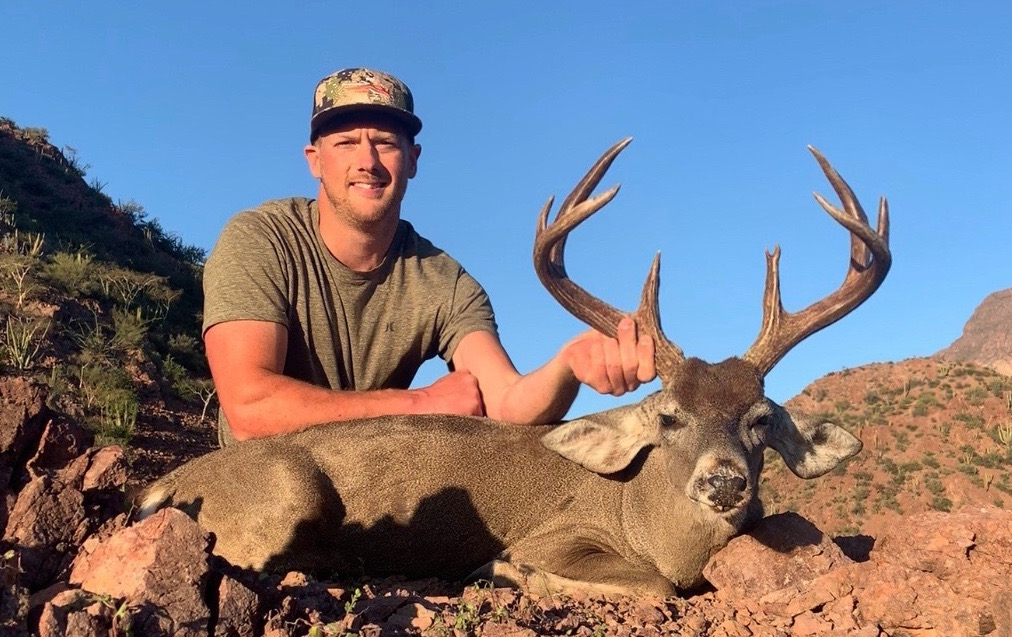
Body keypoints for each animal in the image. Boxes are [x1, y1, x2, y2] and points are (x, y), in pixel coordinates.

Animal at [138, 138, 890, 597]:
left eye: (760, 419)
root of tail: (168, 482)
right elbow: (648, 585)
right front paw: (507, 569)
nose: (726, 480)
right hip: (287, 489)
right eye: (670, 416)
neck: (645, 520)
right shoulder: (560, 534)